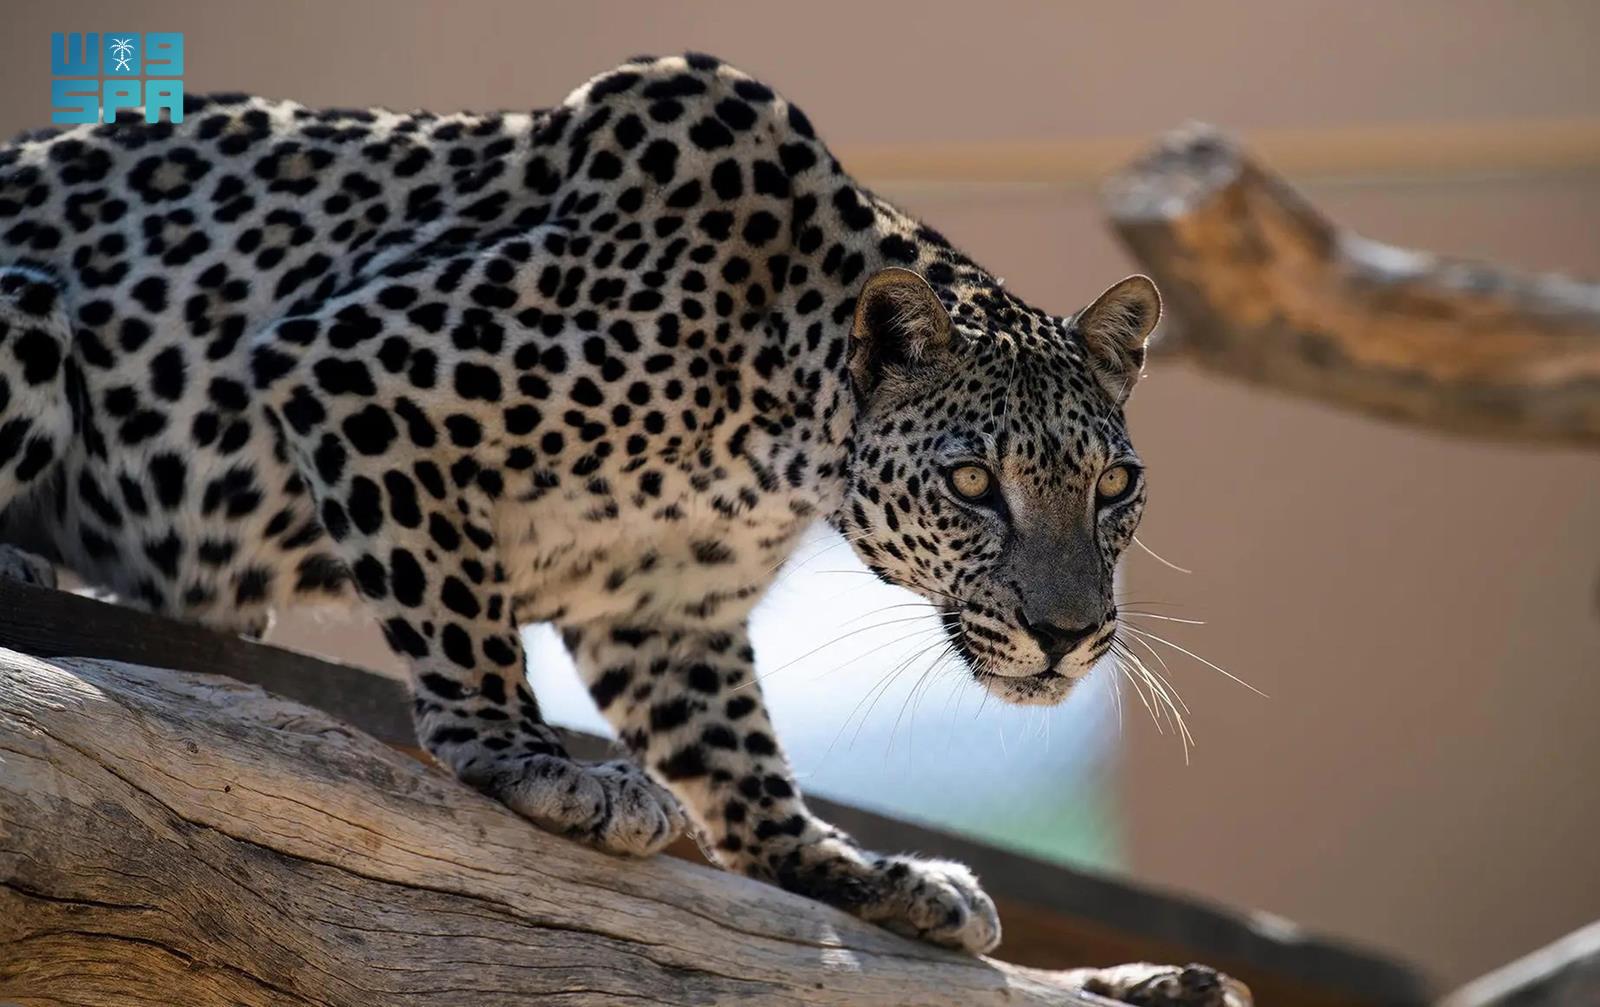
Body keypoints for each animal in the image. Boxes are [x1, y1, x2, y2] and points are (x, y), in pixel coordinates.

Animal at [0, 51, 1230, 1003]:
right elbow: (459, 610)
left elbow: (738, 753)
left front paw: (862, 872)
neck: (776, 431)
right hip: (29, 304)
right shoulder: (355, 368)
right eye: (975, 481)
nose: (1069, 635)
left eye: (1114, 485)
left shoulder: (665, 602)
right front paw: (526, 758)